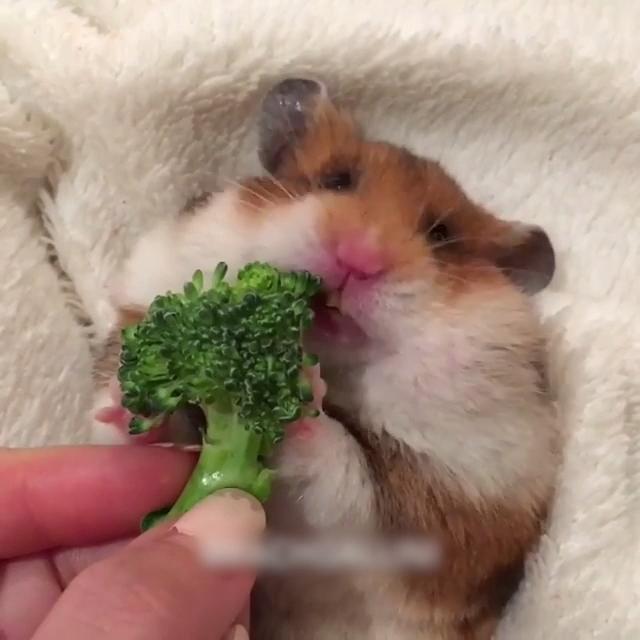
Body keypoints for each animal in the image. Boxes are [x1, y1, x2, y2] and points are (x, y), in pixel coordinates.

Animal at [92, 78, 560, 640]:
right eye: (337, 180)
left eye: (441, 235)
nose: (358, 257)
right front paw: (126, 401)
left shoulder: (448, 513)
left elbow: (347, 470)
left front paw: (304, 404)